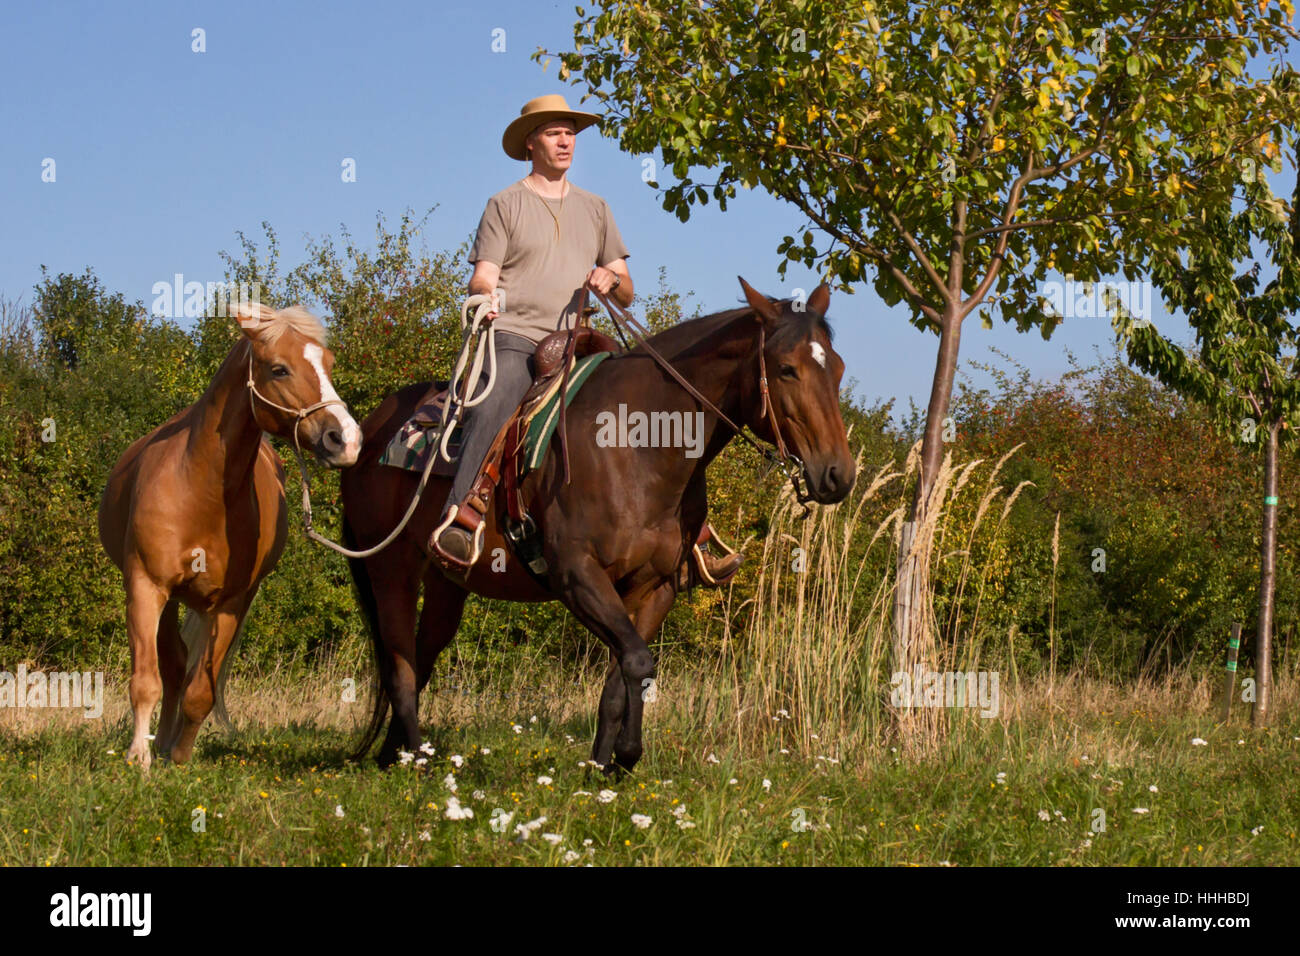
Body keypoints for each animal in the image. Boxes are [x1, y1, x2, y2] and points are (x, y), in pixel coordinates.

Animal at [98, 302, 361, 769]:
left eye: (329, 364)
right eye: (279, 369)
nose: (346, 439)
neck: (198, 490)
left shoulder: (232, 603)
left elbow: (201, 692)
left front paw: (179, 757)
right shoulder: (146, 586)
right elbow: (146, 680)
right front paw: (138, 758)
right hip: (168, 599)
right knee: (172, 665)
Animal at [340, 278, 854, 772]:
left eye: (838, 368)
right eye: (786, 368)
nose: (838, 475)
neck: (637, 447)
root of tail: (374, 426)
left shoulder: (653, 587)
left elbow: (622, 676)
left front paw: (601, 770)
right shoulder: (577, 575)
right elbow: (639, 662)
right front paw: (625, 756)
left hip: (448, 581)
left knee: (423, 657)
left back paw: (396, 754)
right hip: (390, 570)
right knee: (401, 667)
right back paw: (413, 761)